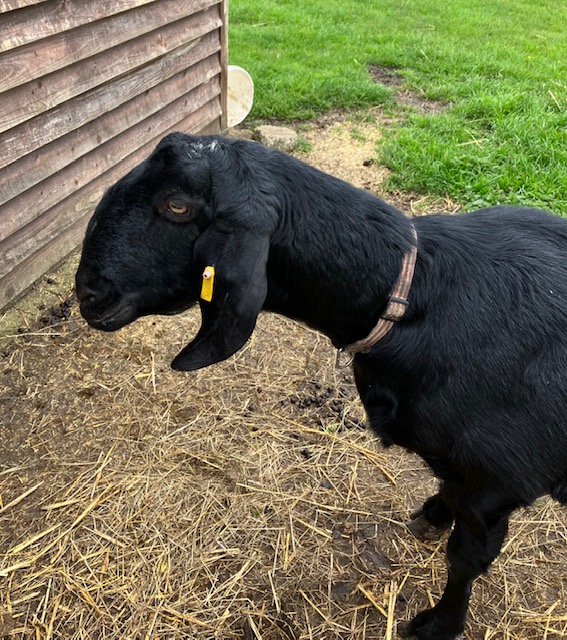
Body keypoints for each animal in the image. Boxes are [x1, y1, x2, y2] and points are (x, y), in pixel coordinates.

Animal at [75, 132, 567, 639]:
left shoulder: (497, 481)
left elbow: (465, 559)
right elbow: (449, 493)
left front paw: (438, 624)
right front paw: (432, 515)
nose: (89, 295)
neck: (414, 294)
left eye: (177, 206)